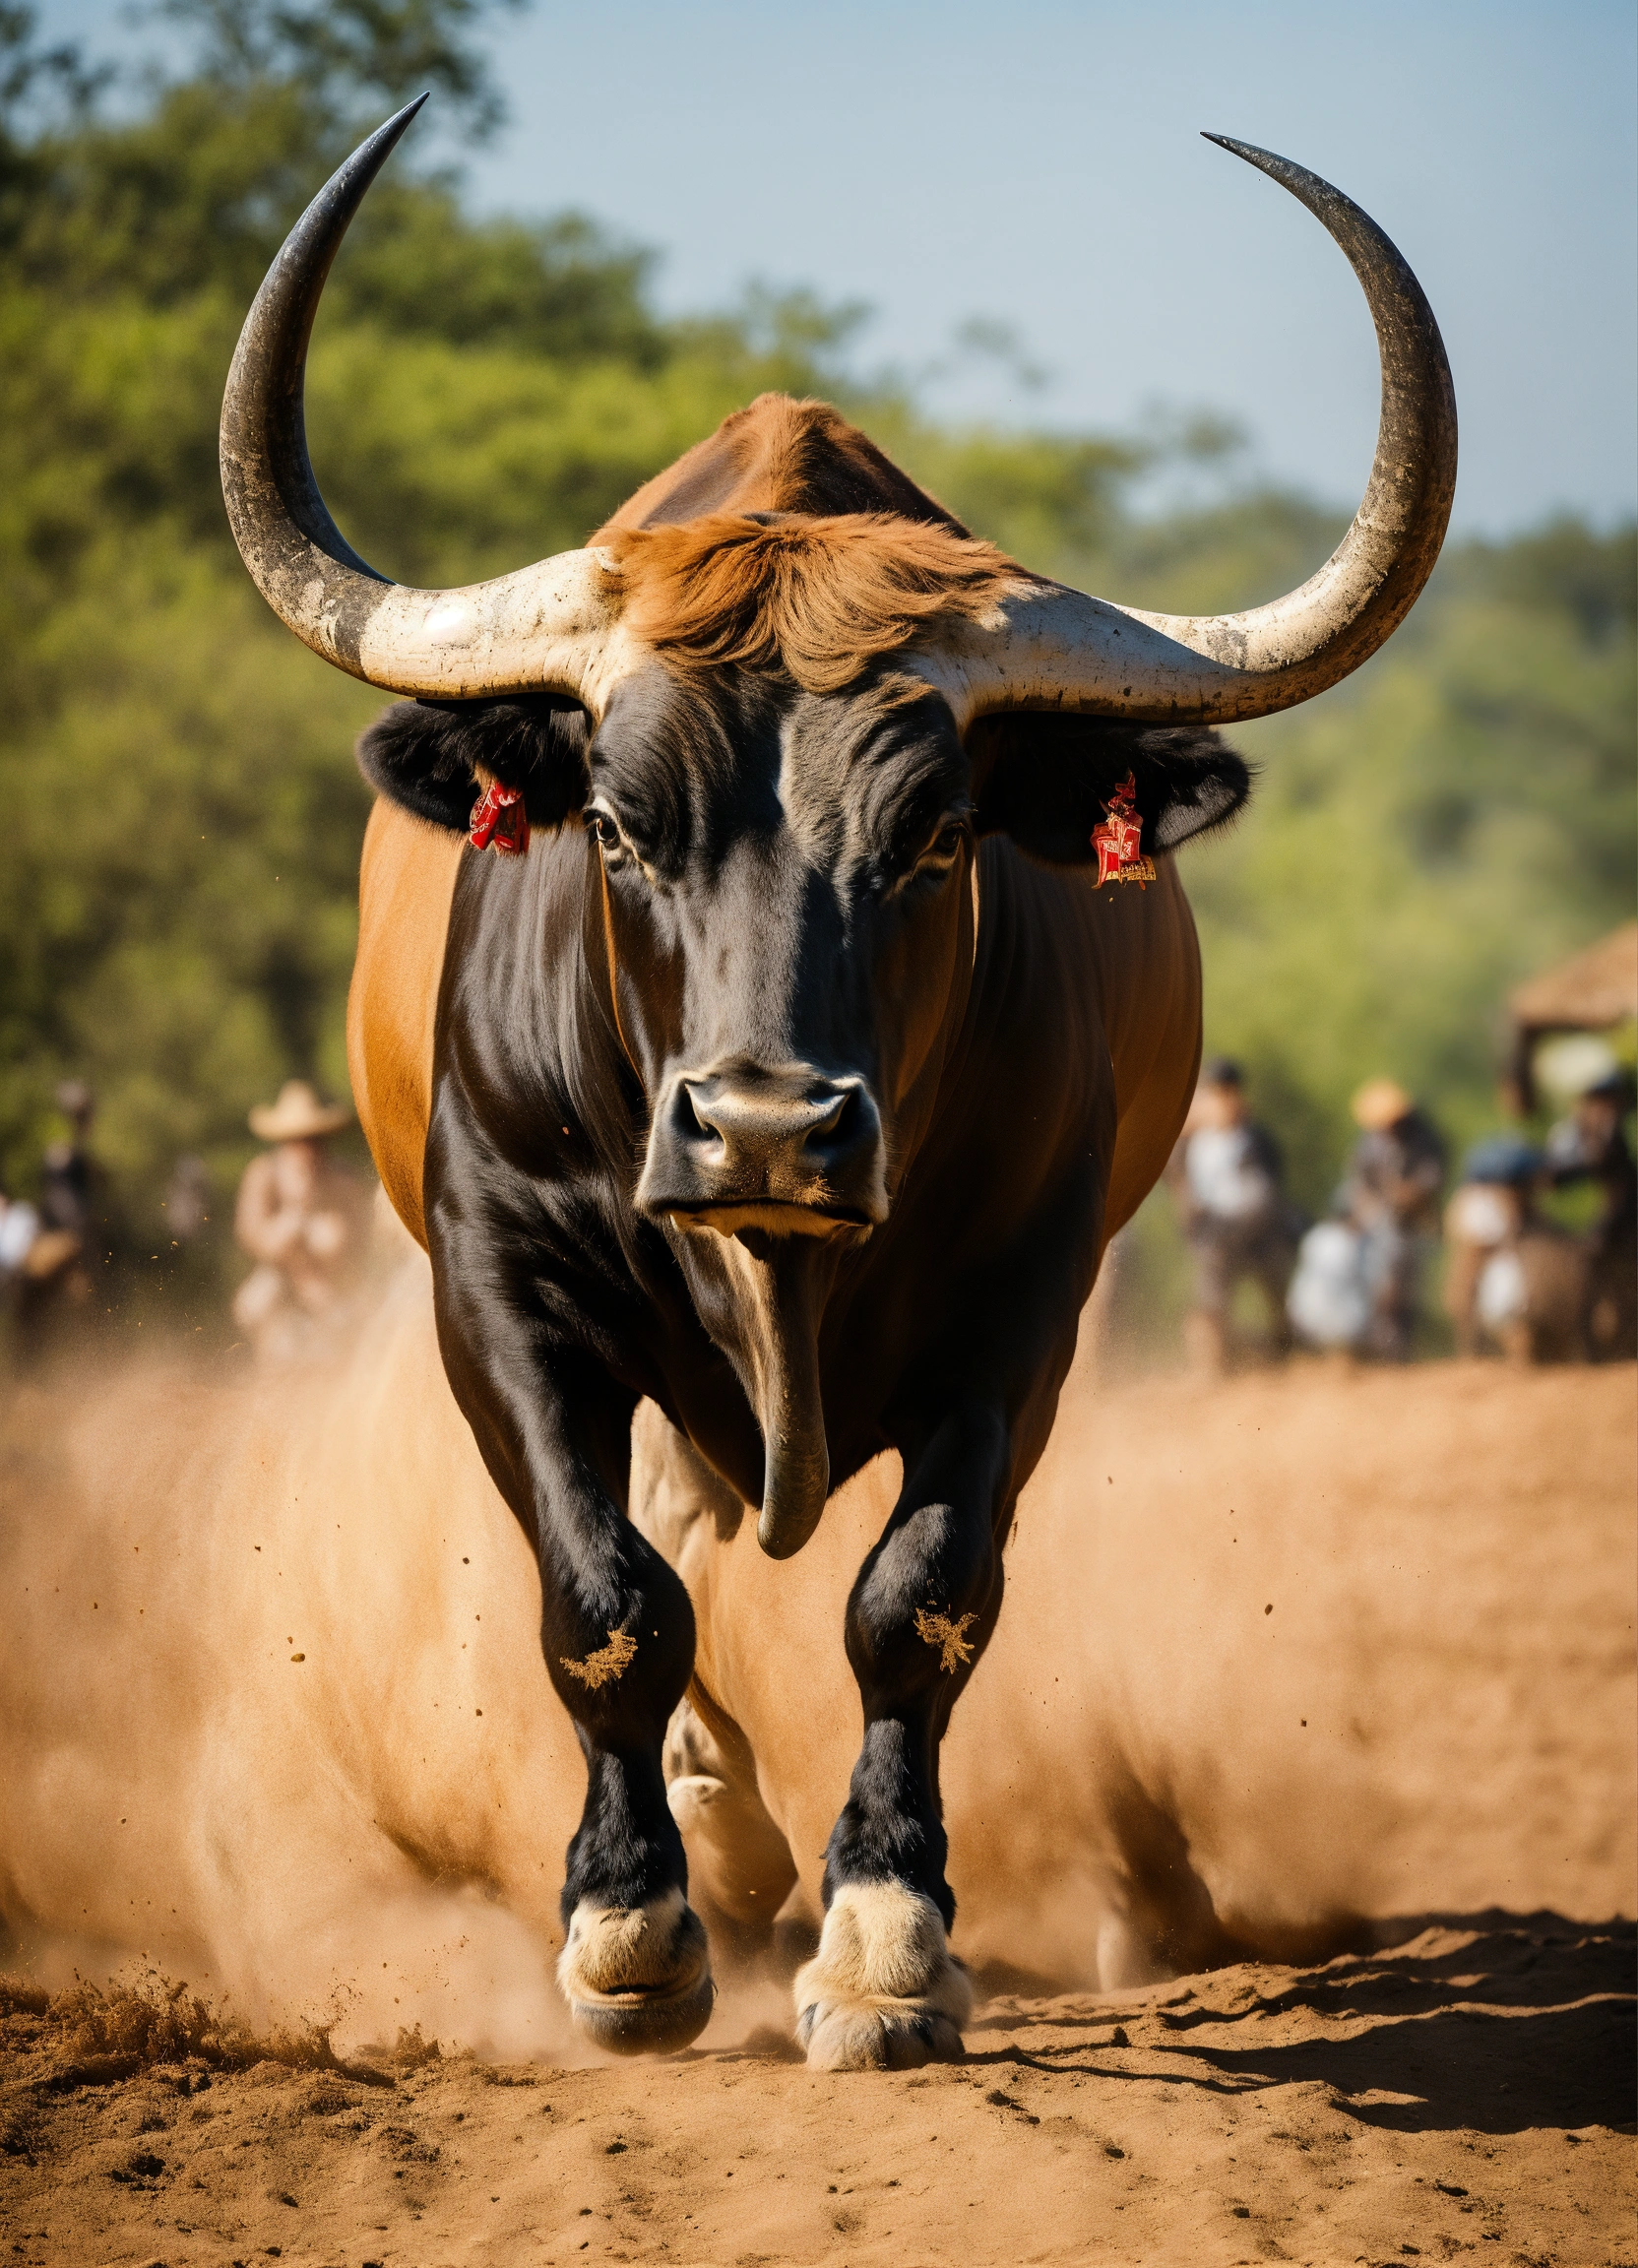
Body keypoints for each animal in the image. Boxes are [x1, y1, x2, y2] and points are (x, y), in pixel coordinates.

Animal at [219, 103, 1455, 2069]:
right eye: (613, 824)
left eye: (937, 830)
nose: (766, 1129)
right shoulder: (495, 1283)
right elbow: (603, 1597)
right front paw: (632, 1922)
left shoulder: (1025, 1308)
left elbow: (918, 1600)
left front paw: (884, 1937)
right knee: (665, 1534)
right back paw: (714, 1836)